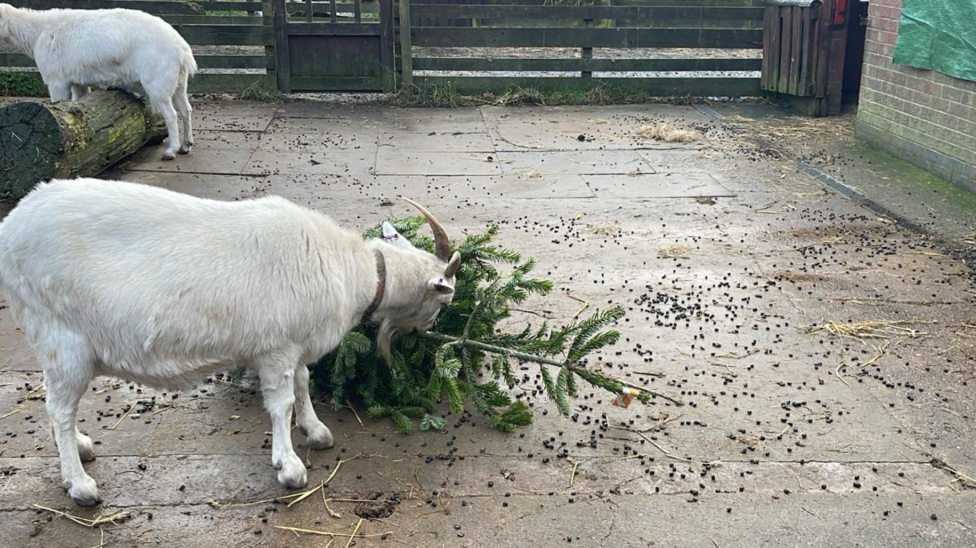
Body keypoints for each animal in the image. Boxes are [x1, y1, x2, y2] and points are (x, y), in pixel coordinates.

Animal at [0, 4, 197, 160]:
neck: (37, 31)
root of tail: (183, 49)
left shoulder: (57, 79)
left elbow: (59, 102)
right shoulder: (78, 80)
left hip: (158, 79)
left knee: (171, 114)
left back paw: (171, 151)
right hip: (178, 80)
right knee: (185, 109)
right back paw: (186, 146)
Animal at [0, 178, 462, 506]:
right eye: (443, 300)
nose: (424, 335)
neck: (352, 270)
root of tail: (11, 226)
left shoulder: (295, 345)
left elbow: (303, 382)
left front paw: (315, 431)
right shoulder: (275, 347)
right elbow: (281, 403)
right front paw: (289, 467)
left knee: (58, 406)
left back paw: (79, 446)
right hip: (61, 336)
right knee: (59, 408)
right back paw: (80, 484)